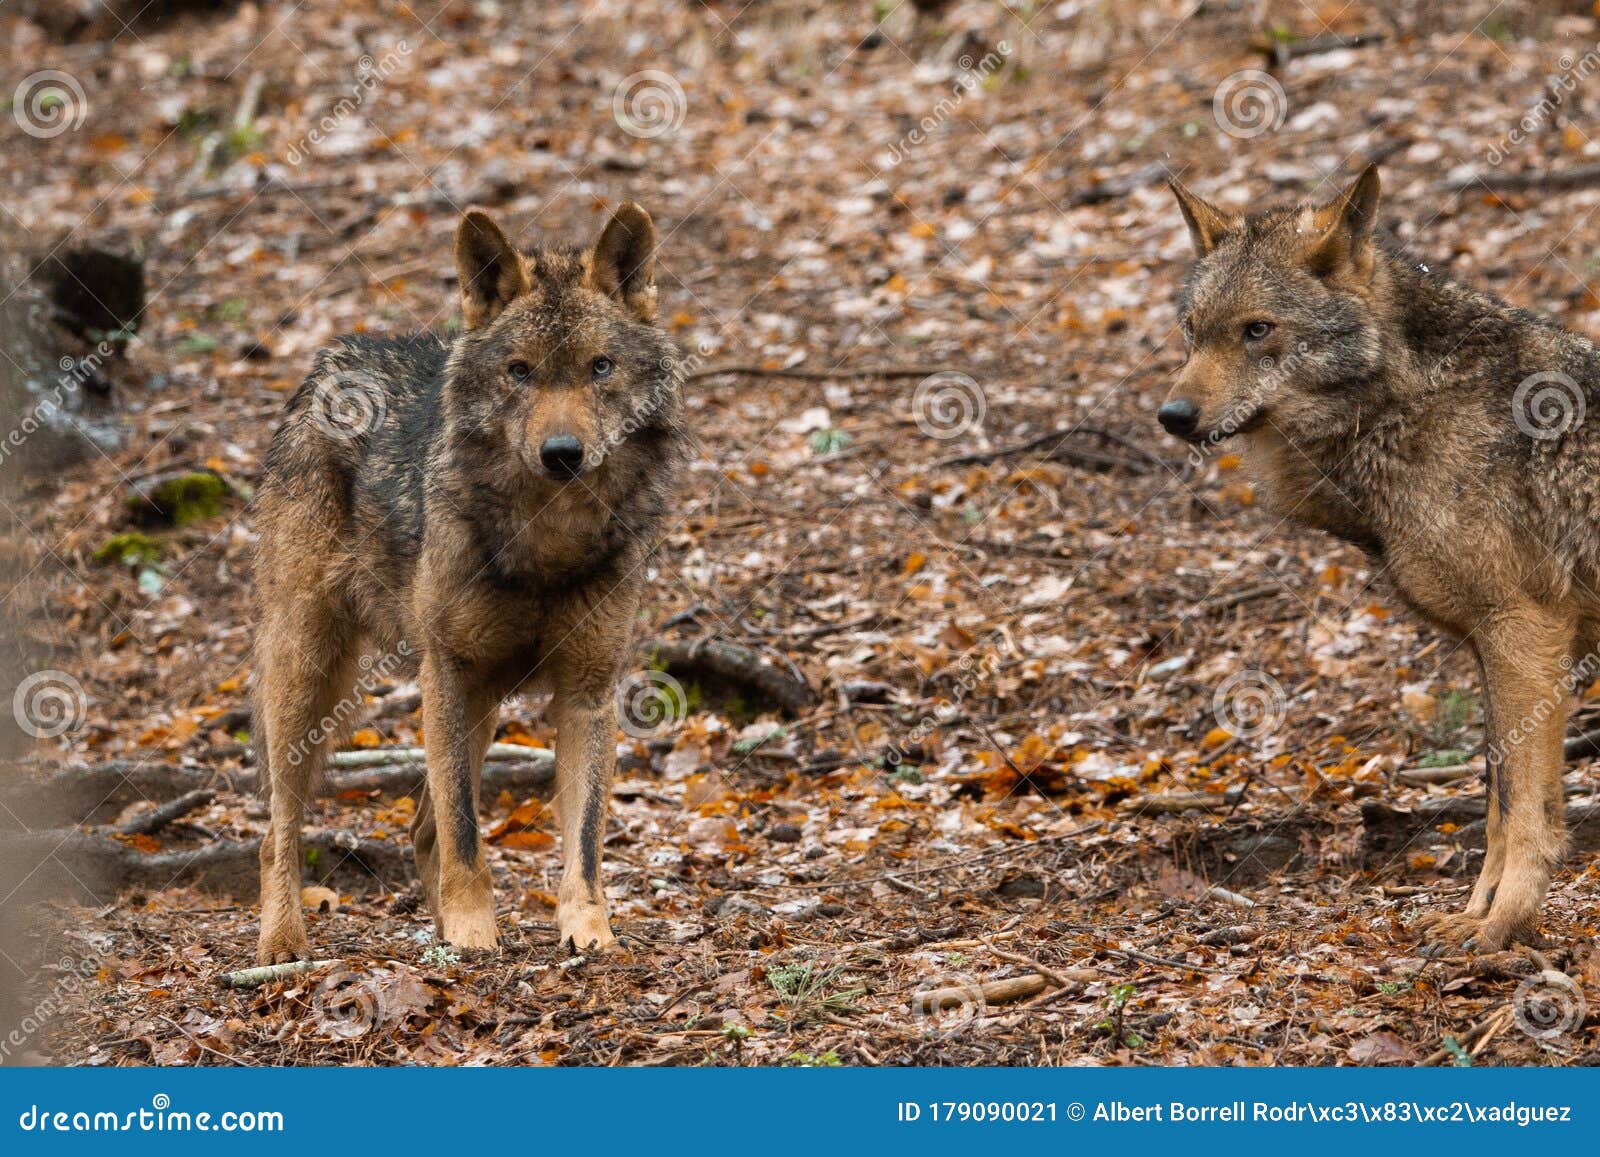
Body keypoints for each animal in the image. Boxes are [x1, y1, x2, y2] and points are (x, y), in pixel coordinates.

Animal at [252, 203, 684, 963]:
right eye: (519, 371)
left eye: (600, 367)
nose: (563, 454)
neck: (547, 541)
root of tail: (332, 361)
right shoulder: (448, 668)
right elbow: (464, 828)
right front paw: (473, 931)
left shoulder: (588, 688)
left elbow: (584, 840)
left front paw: (589, 931)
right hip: (311, 675)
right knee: (279, 823)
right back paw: (282, 943)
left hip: (476, 701)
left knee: (419, 828)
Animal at [1160, 163, 1600, 952]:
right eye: (1192, 332)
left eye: (1258, 330)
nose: (1173, 417)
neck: (1405, 405)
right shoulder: (1490, 647)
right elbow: (1496, 802)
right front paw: (1476, 913)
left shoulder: (1525, 635)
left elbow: (1527, 811)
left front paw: (1506, 926)